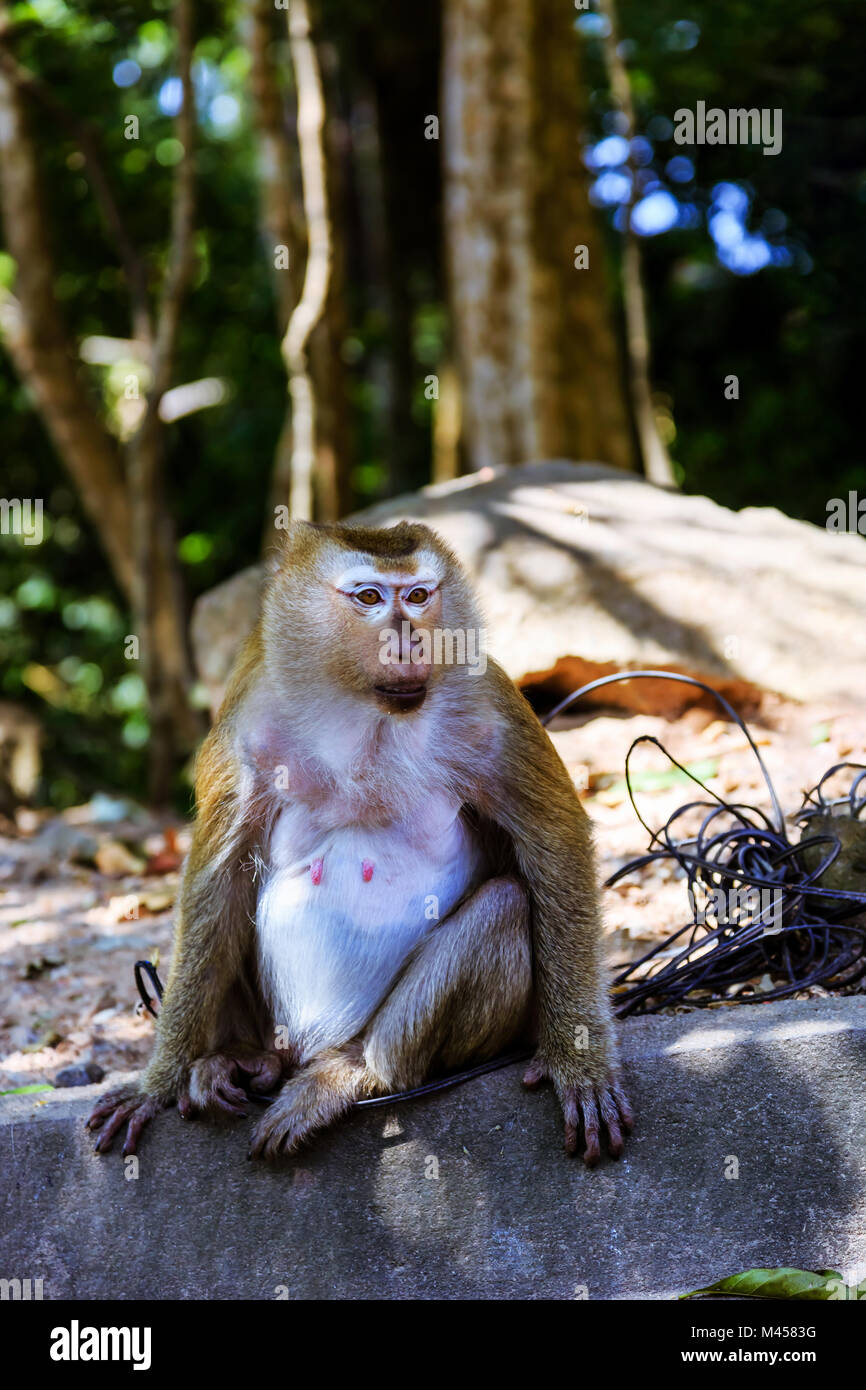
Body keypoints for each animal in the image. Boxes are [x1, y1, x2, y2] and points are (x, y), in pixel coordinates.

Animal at [88, 520, 633, 1165]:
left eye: (418, 596)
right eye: (370, 597)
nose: (408, 642)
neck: (359, 710)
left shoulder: (489, 704)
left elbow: (555, 841)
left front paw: (579, 1060)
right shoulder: (248, 714)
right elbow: (215, 882)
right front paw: (157, 1083)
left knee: (504, 905)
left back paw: (356, 1072)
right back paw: (234, 1060)